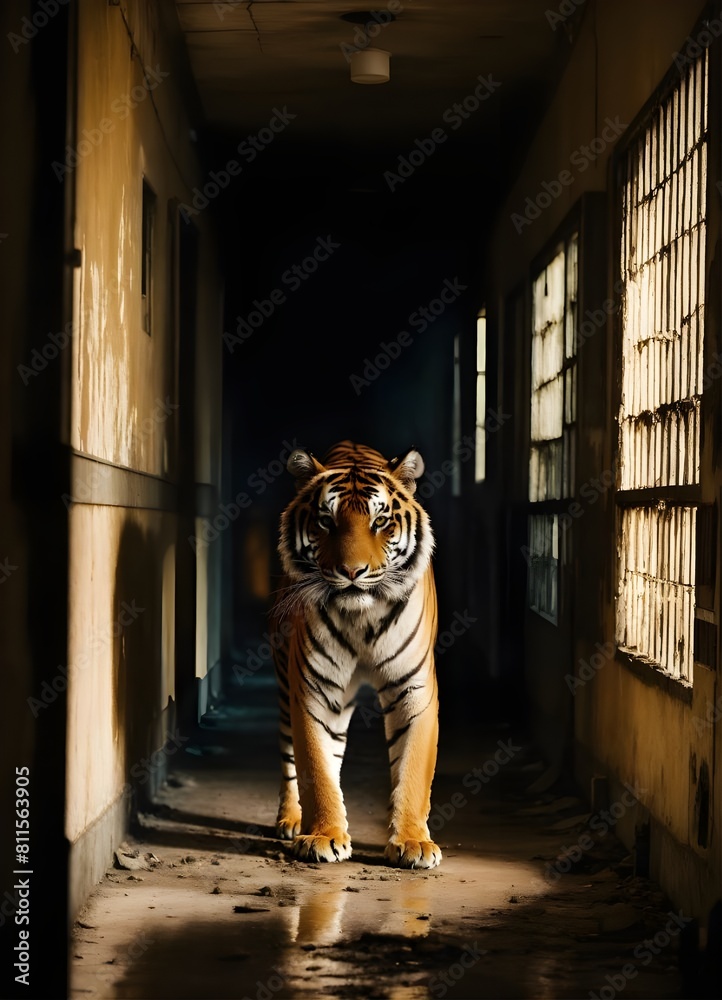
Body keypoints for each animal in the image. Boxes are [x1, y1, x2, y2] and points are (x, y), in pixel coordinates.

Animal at [270, 439, 441, 869]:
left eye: (380, 521)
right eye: (326, 521)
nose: (352, 571)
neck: (362, 617)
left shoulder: (414, 689)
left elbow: (413, 768)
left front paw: (413, 842)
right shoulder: (313, 689)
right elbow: (316, 766)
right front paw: (323, 837)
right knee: (289, 758)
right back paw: (292, 820)